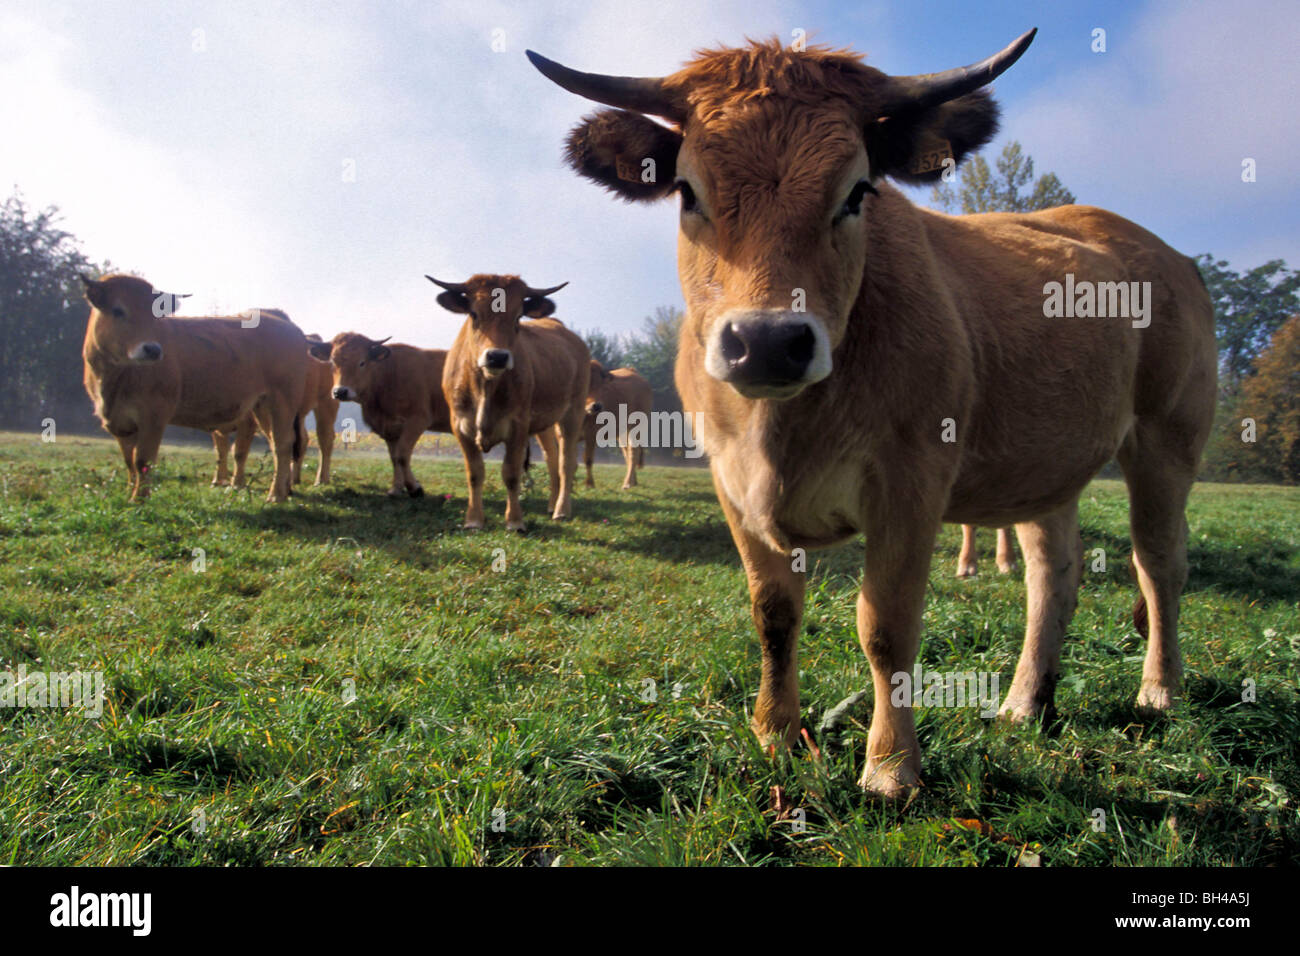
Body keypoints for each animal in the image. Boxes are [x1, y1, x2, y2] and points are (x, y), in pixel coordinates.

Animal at [81, 273, 308, 503]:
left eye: (156, 316)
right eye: (118, 310)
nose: (152, 349)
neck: (114, 379)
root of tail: (289, 328)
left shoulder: (154, 416)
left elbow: (143, 461)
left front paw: (139, 499)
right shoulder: (120, 422)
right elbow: (129, 461)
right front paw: (130, 490)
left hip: (283, 401)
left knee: (282, 444)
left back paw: (276, 495)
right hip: (262, 408)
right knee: (275, 443)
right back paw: (284, 489)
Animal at [212, 326, 339, 490]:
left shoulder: (249, 420)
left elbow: (239, 451)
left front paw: (237, 484)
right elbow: (220, 450)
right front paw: (218, 480)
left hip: (327, 404)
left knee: (325, 439)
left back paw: (321, 479)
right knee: (302, 440)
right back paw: (293, 479)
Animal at [308, 332, 451, 497]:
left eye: (362, 362)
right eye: (332, 362)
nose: (340, 392)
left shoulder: (417, 420)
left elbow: (402, 456)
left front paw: (414, 487)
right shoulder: (391, 429)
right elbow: (394, 458)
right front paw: (396, 489)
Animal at [429, 274, 591, 531]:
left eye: (518, 317)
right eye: (474, 313)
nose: (497, 356)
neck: (485, 387)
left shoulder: (518, 426)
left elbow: (512, 474)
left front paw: (515, 521)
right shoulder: (460, 426)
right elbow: (474, 473)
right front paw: (473, 519)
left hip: (573, 412)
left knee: (567, 461)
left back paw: (562, 510)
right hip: (545, 423)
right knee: (552, 458)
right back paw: (551, 504)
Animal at [583, 361, 655, 489]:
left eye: (603, 386)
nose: (596, 406)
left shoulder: (591, 434)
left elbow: (588, 459)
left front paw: (589, 484)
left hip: (637, 426)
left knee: (633, 452)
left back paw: (628, 483)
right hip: (622, 433)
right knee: (627, 453)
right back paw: (633, 481)